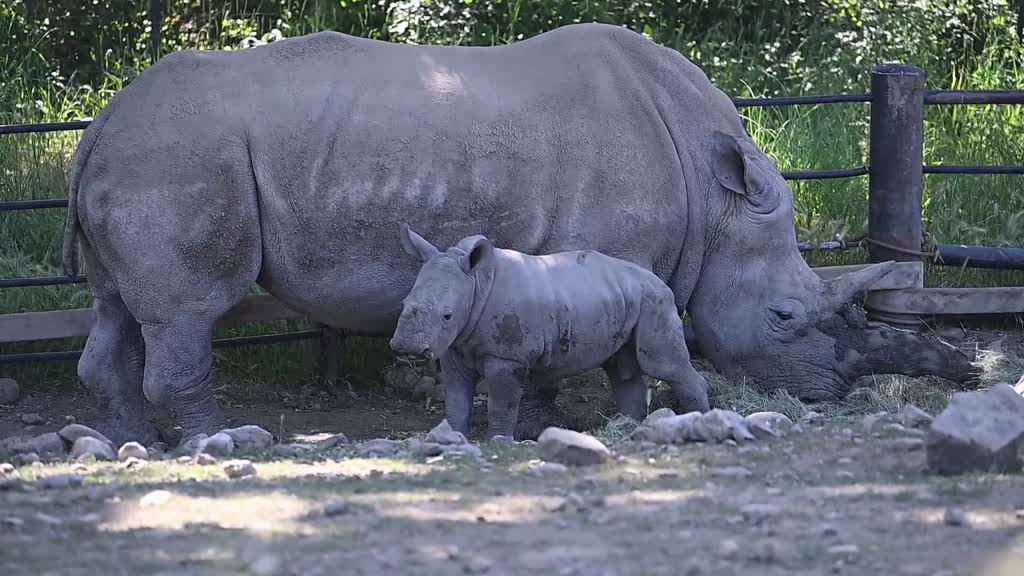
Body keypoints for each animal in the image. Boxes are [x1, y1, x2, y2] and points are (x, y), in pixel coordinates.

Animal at [390, 225, 711, 438]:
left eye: (447, 315)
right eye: (403, 304)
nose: (407, 347)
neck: (476, 282)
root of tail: (660, 282)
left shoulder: (507, 357)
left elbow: (502, 403)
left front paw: (499, 441)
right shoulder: (454, 345)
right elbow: (456, 400)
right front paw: (452, 436)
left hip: (655, 301)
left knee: (660, 364)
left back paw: (702, 418)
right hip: (626, 298)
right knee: (622, 369)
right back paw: (627, 428)